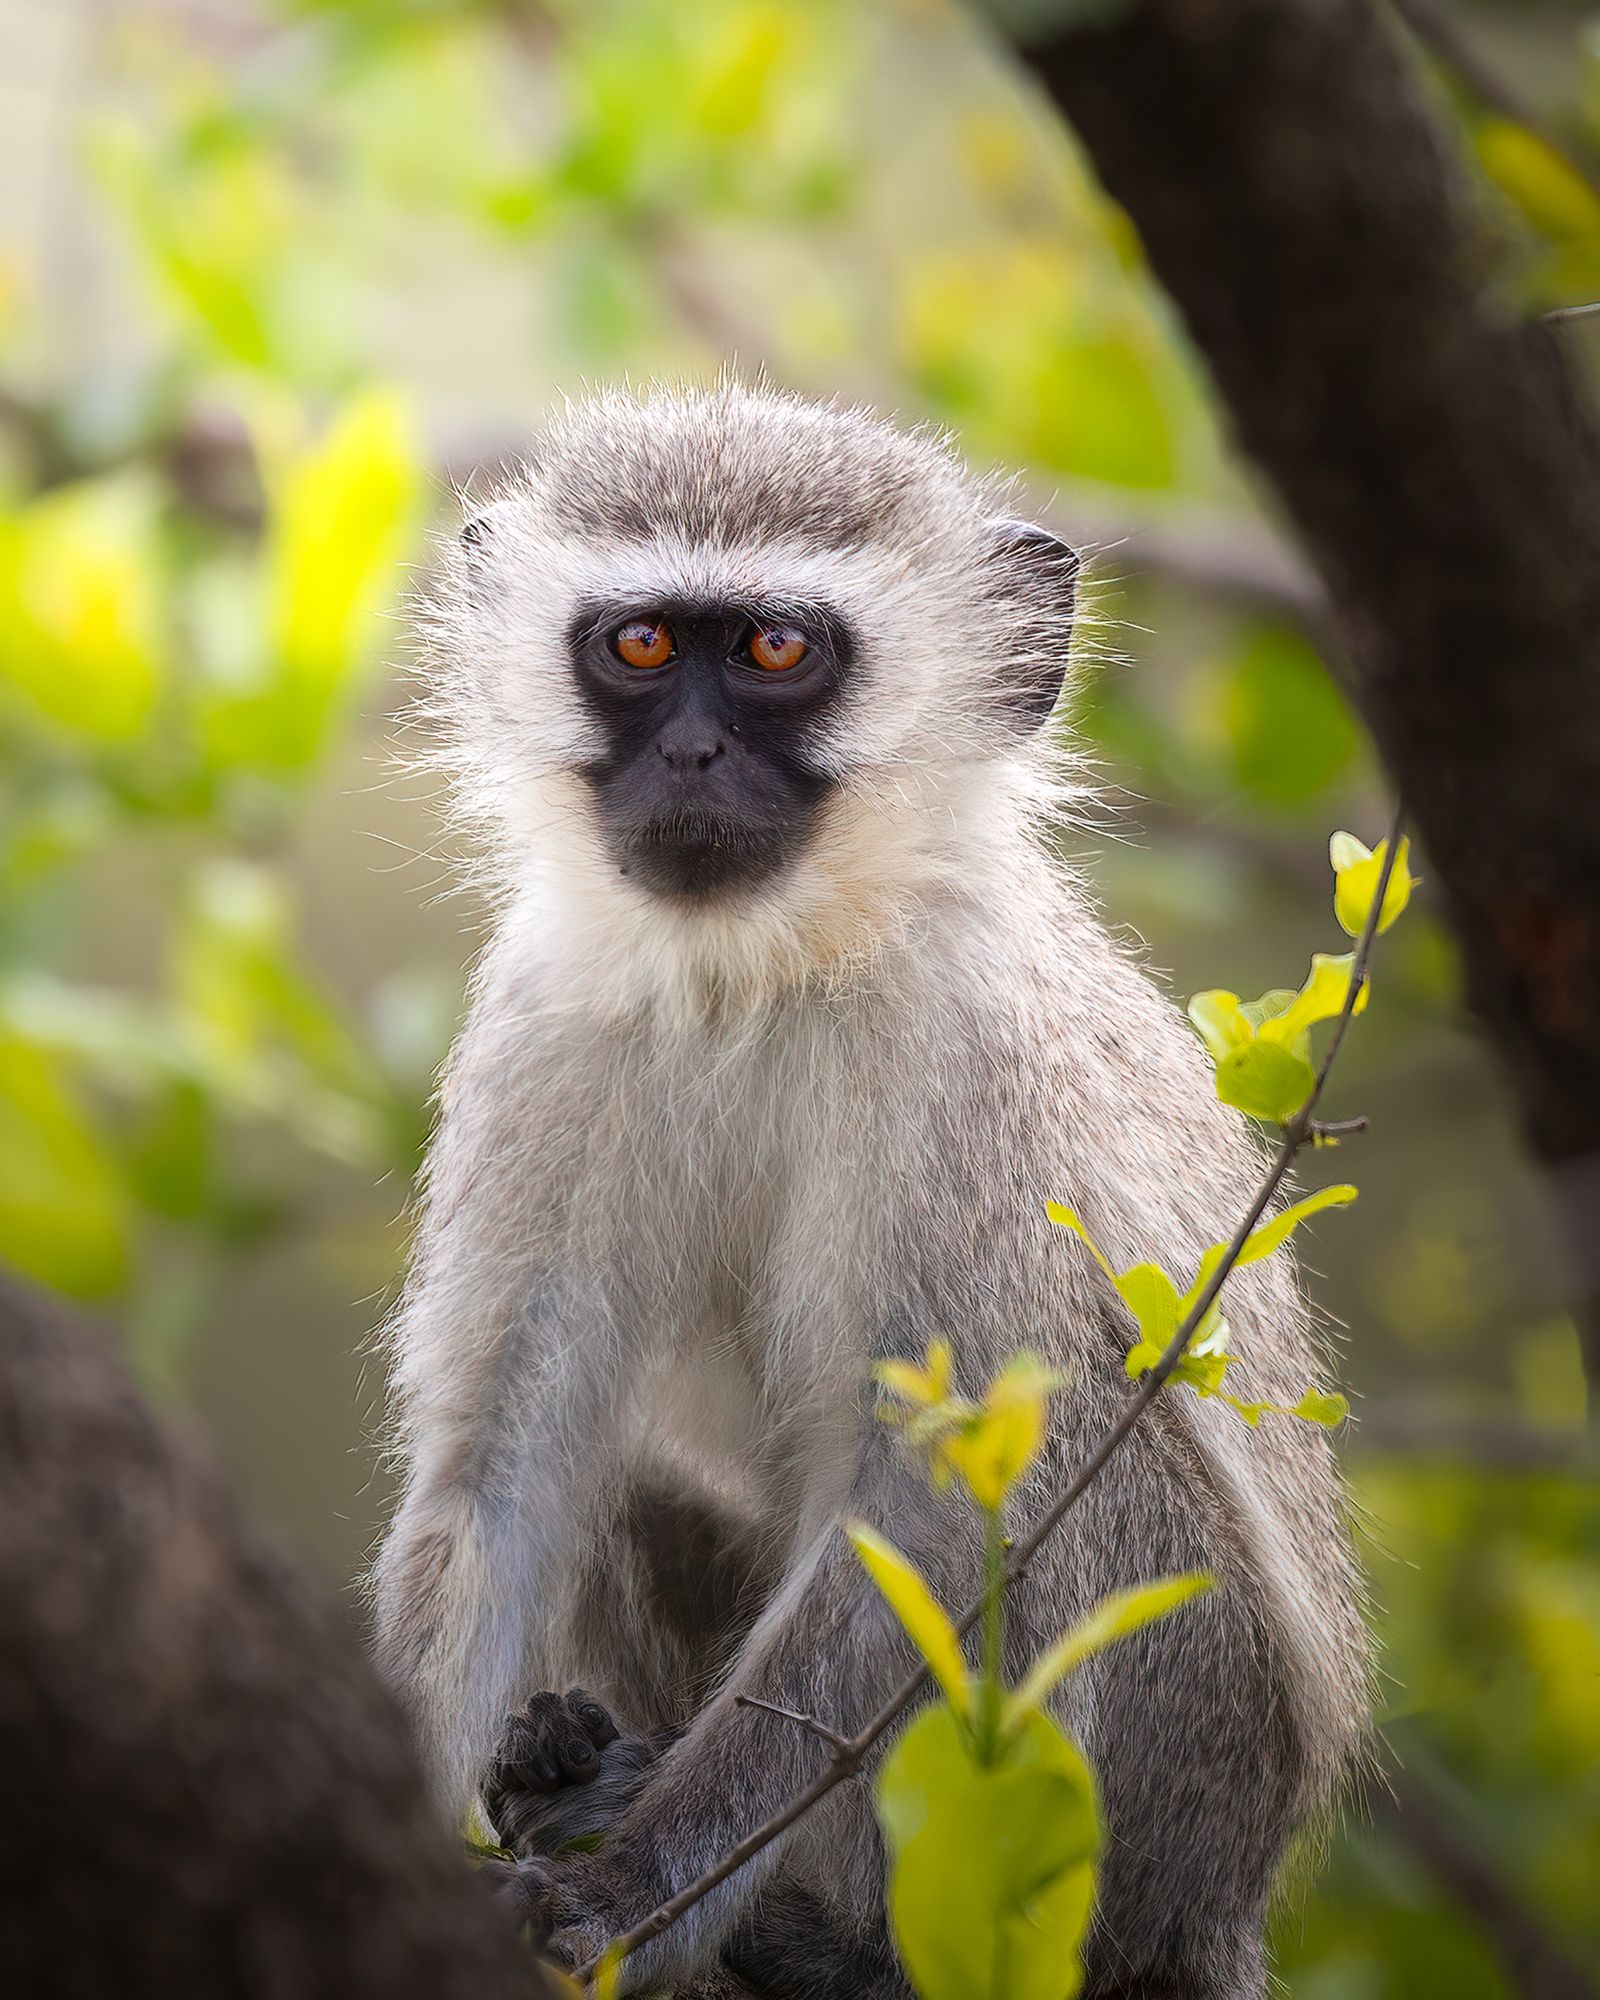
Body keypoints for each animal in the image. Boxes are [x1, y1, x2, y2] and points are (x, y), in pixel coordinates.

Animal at [370, 382, 1368, 1999]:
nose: (691, 761)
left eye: (776, 651)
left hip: (1181, 1774)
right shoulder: (540, 1014)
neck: (760, 970)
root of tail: (1222, 1906)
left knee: (1063, 1471)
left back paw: (826, 1944)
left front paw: (627, 1886)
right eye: (638, 646)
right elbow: (497, 1466)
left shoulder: (964, 1060)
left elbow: (925, 1506)